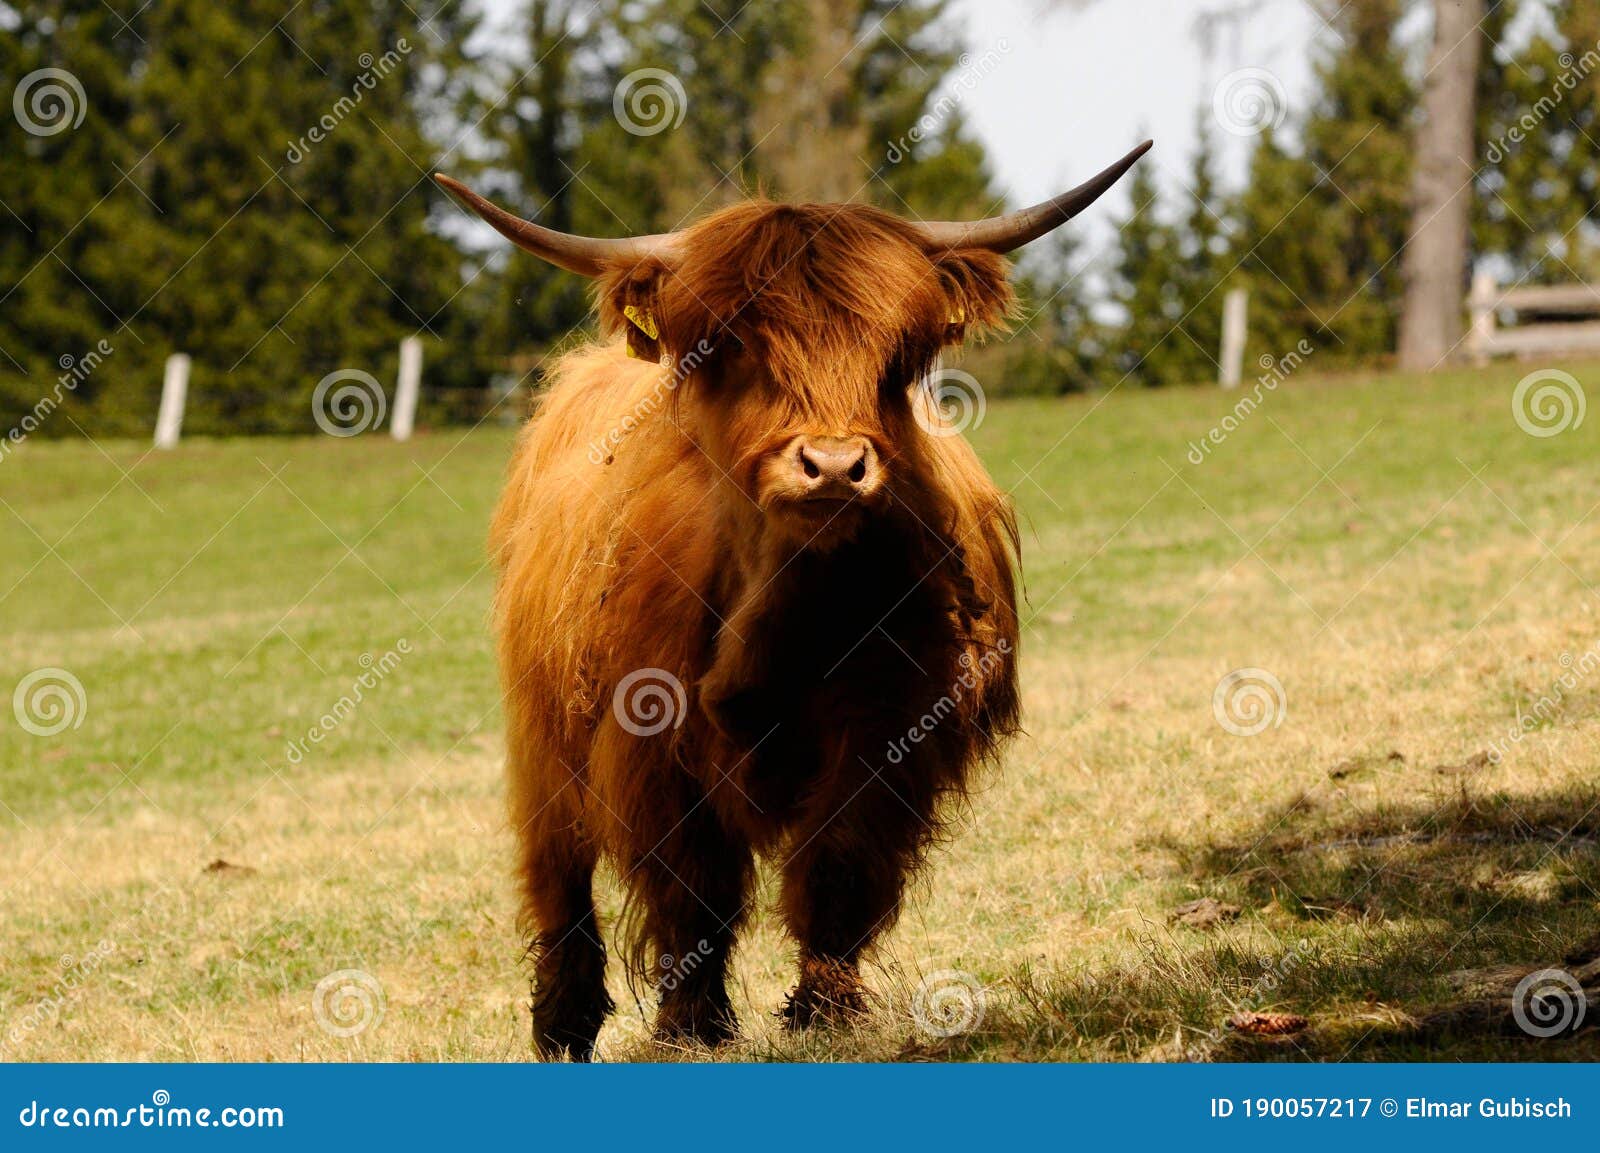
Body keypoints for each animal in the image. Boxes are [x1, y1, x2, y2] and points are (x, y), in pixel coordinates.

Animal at [435, 140, 1150, 1060]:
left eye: (898, 355)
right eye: (730, 345)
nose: (834, 466)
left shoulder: (888, 727)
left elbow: (837, 866)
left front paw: (825, 1008)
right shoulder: (652, 745)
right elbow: (693, 890)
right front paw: (692, 1025)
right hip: (542, 729)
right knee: (555, 866)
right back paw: (562, 1021)